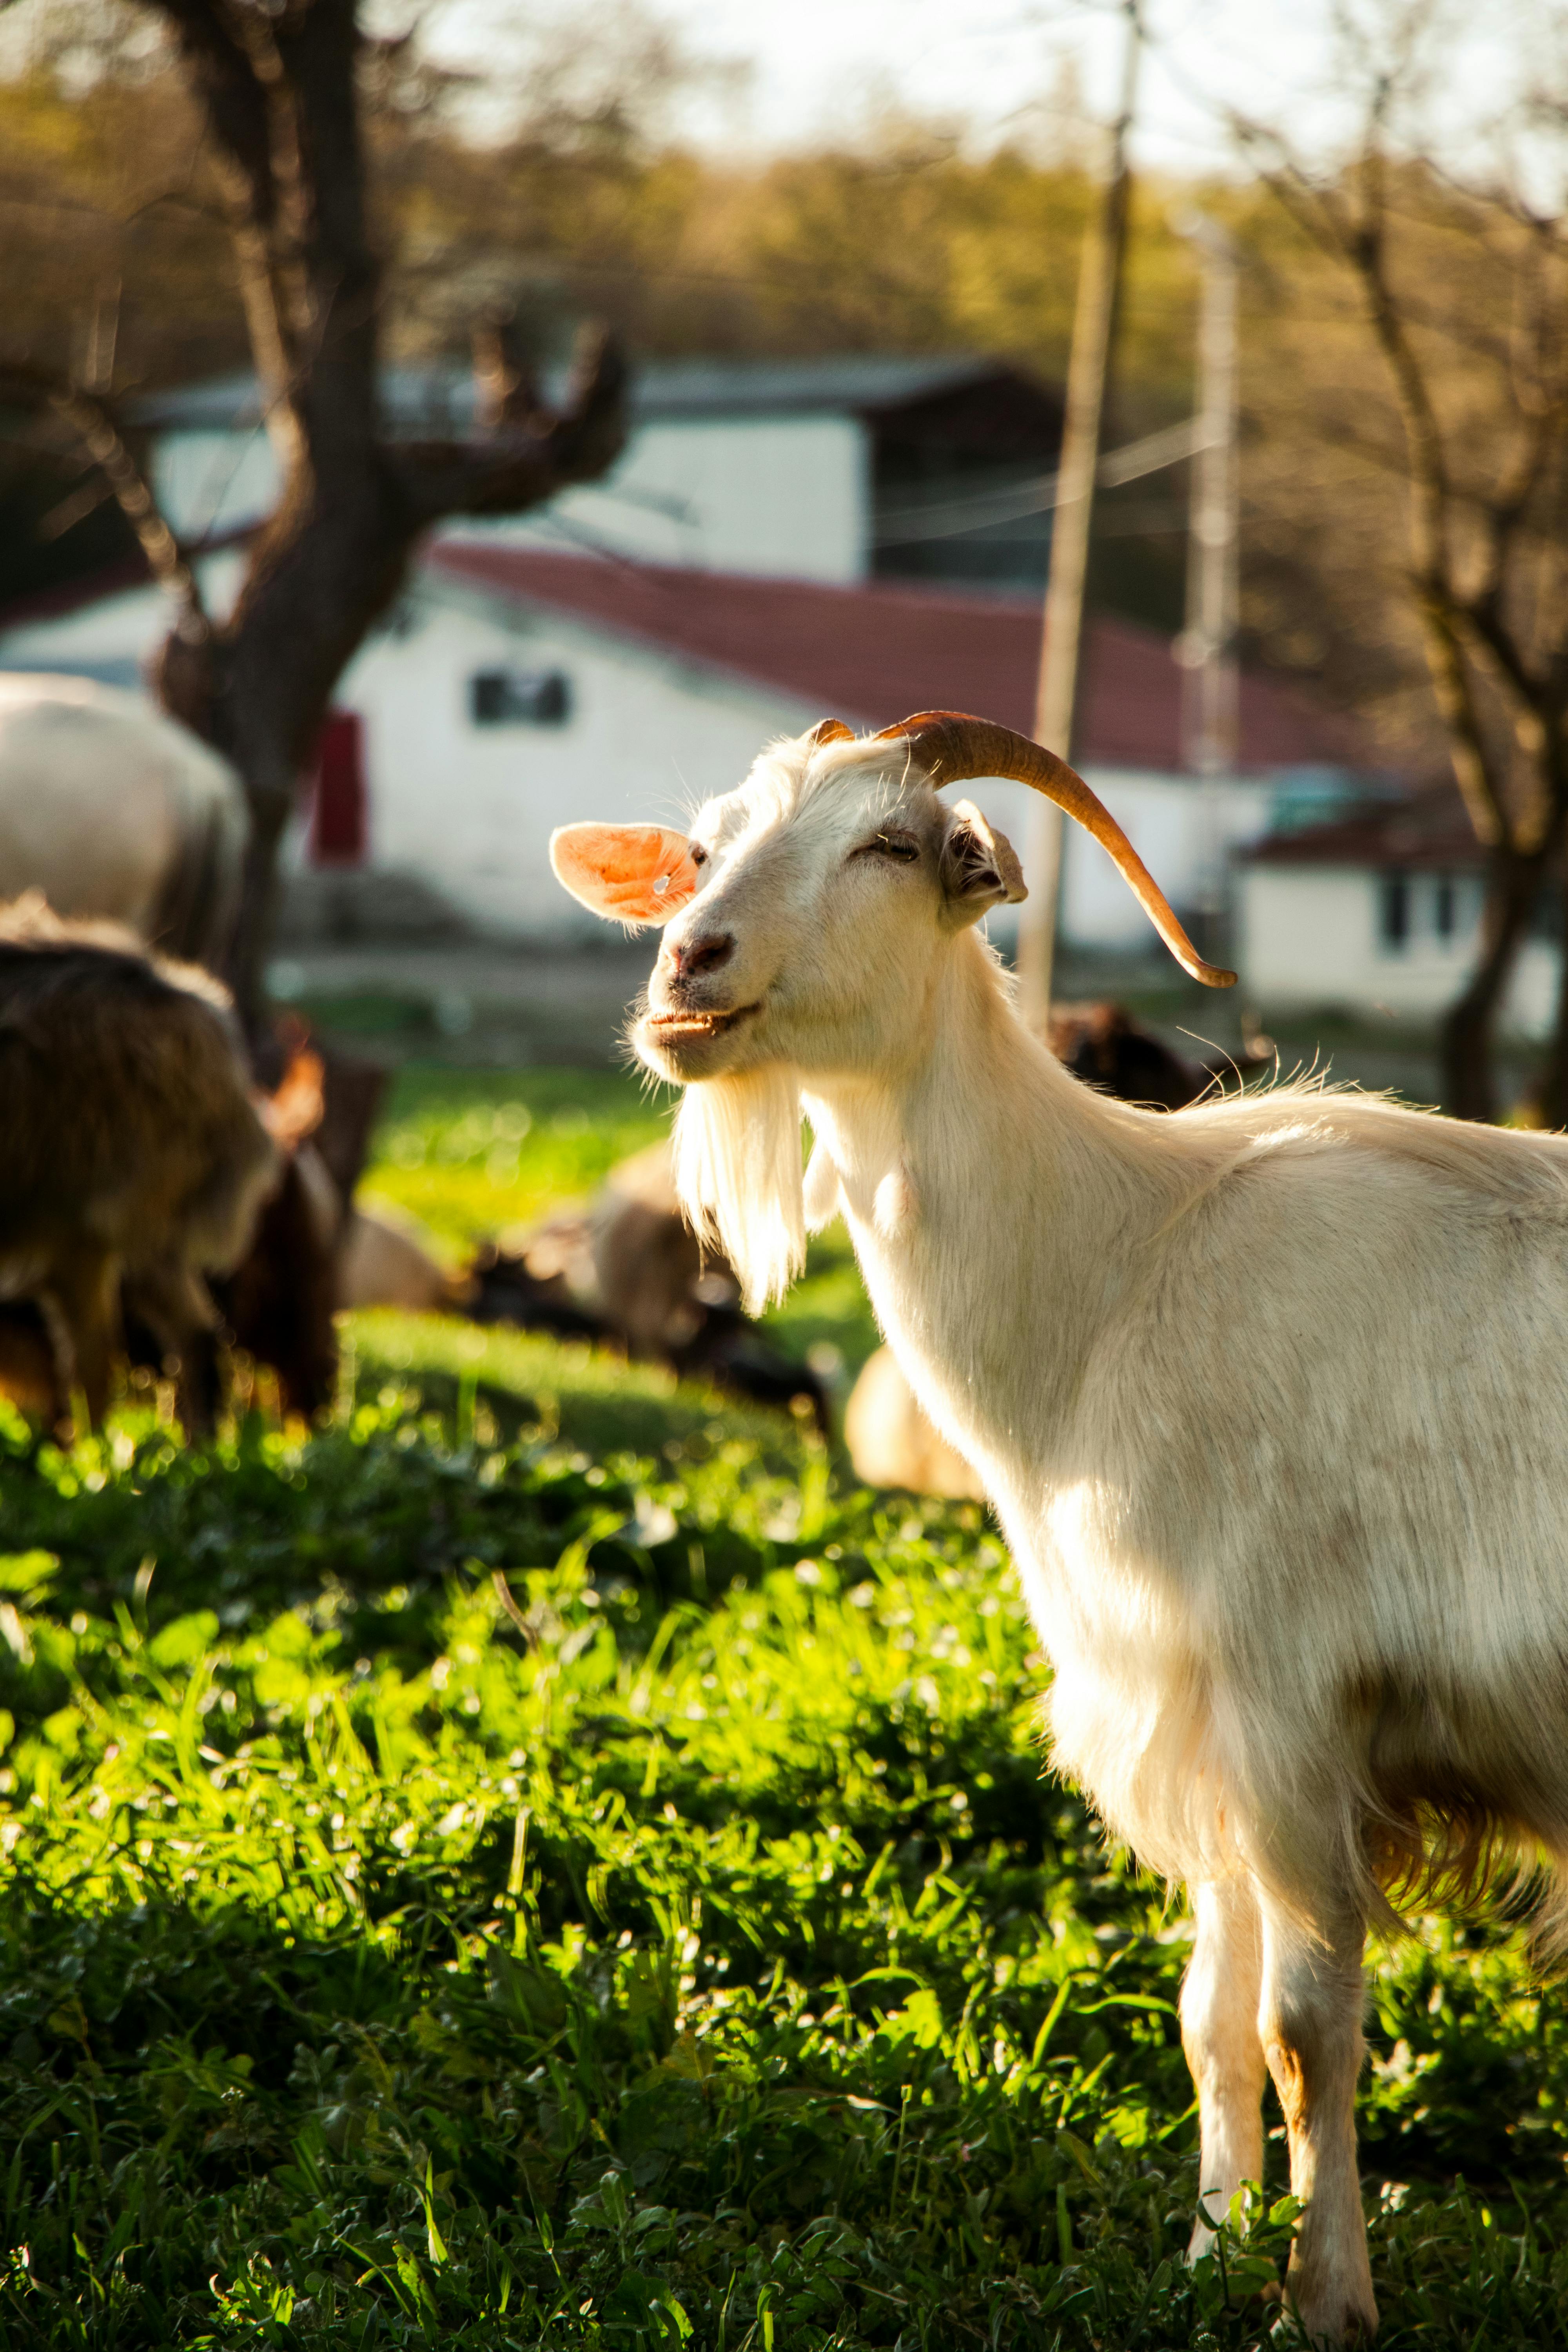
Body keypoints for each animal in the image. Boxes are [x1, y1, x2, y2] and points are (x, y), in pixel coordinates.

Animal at [550, 708, 1568, 2341]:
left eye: (891, 842)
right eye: (701, 846)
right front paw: (1211, 2260)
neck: (1119, 1267)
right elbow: (1213, 2022)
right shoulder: (1194, 1721)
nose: (688, 966)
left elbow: (1307, 2031)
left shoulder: (1293, 1710)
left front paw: (1322, 2302)